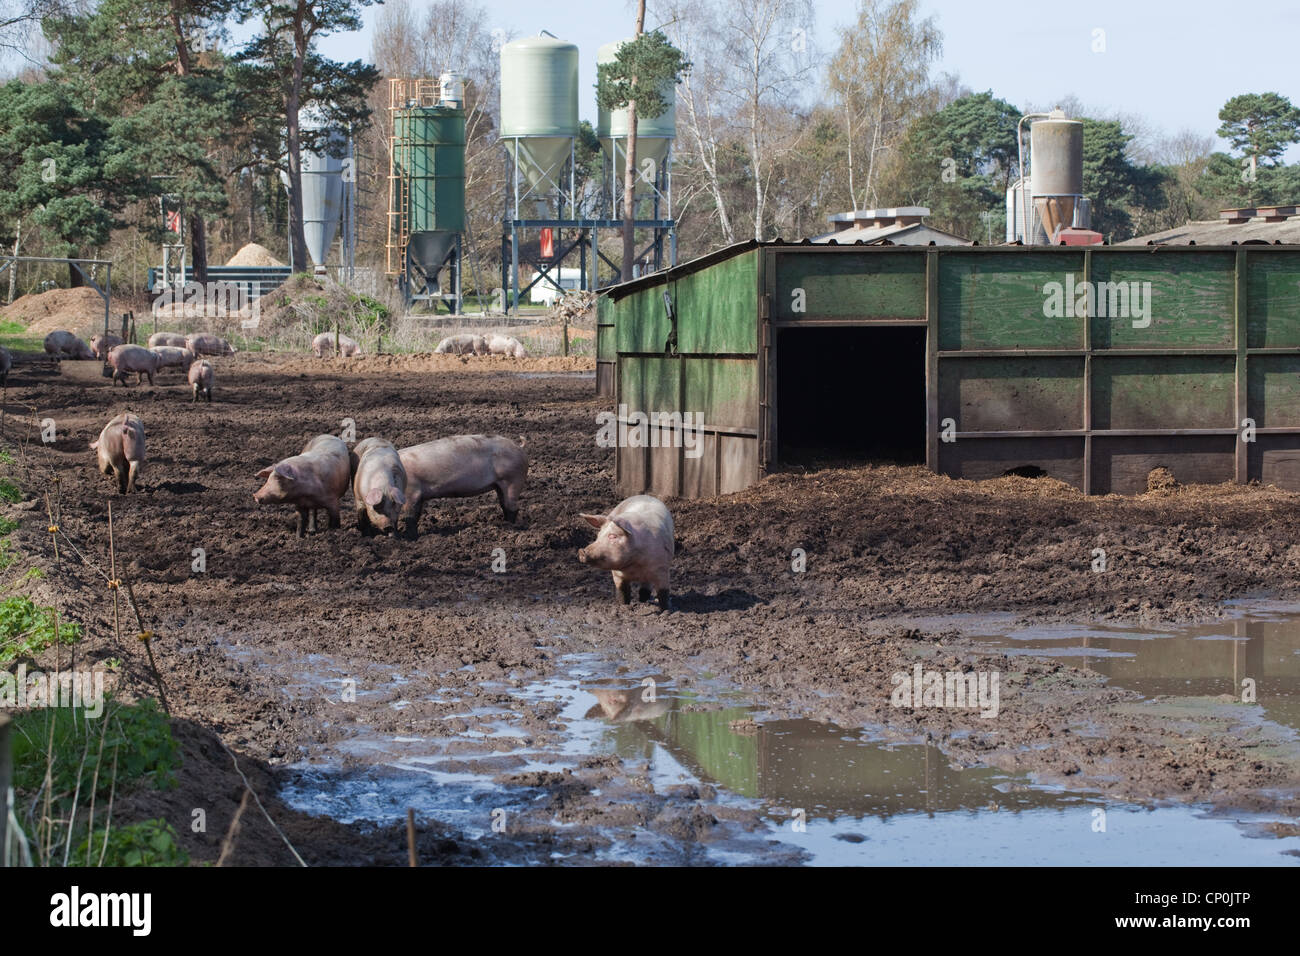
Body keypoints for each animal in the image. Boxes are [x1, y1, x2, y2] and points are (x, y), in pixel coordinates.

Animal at [397, 435, 527, 538]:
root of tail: (519, 447)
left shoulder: (412, 492)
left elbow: (410, 516)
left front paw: (409, 537)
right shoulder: (419, 496)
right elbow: (416, 515)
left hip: (513, 480)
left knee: (512, 508)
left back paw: (509, 526)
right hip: (500, 485)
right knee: (504, 504)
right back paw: (504, 523)